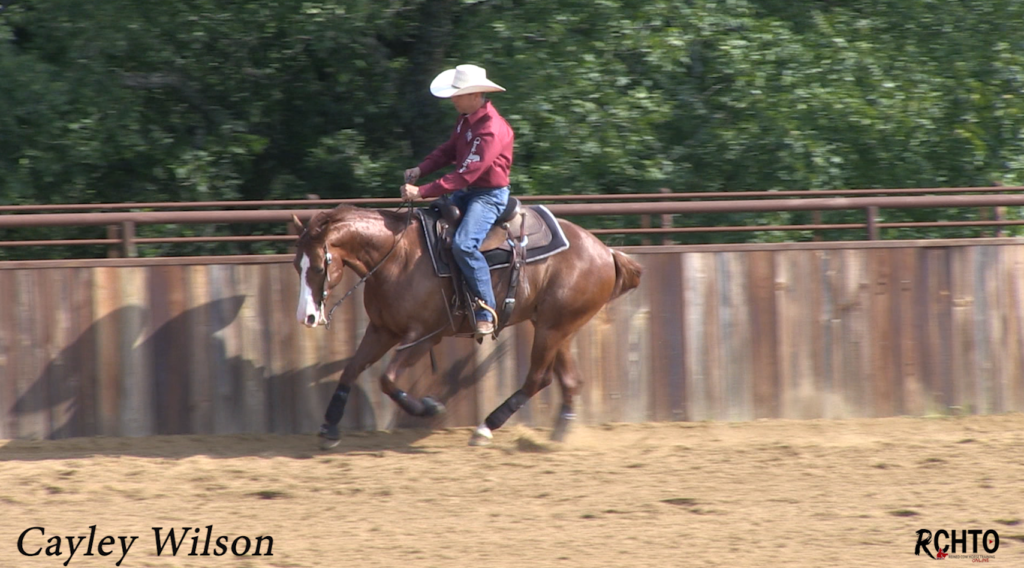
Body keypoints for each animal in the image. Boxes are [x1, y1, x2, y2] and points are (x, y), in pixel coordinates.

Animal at [291, 202, 642, 447]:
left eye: (320, 265)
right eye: (297, 265)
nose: (306, 317)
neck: (398, 256)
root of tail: (605, 251)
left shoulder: (424, 337)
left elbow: (387, 380)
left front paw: (430, 408)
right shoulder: (381, 330)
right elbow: (352, 369)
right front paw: (329, 426)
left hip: (551, 329)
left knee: (537, 379)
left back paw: (486, 427)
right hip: (556, 327)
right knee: (567, 380)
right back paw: (559, 433)